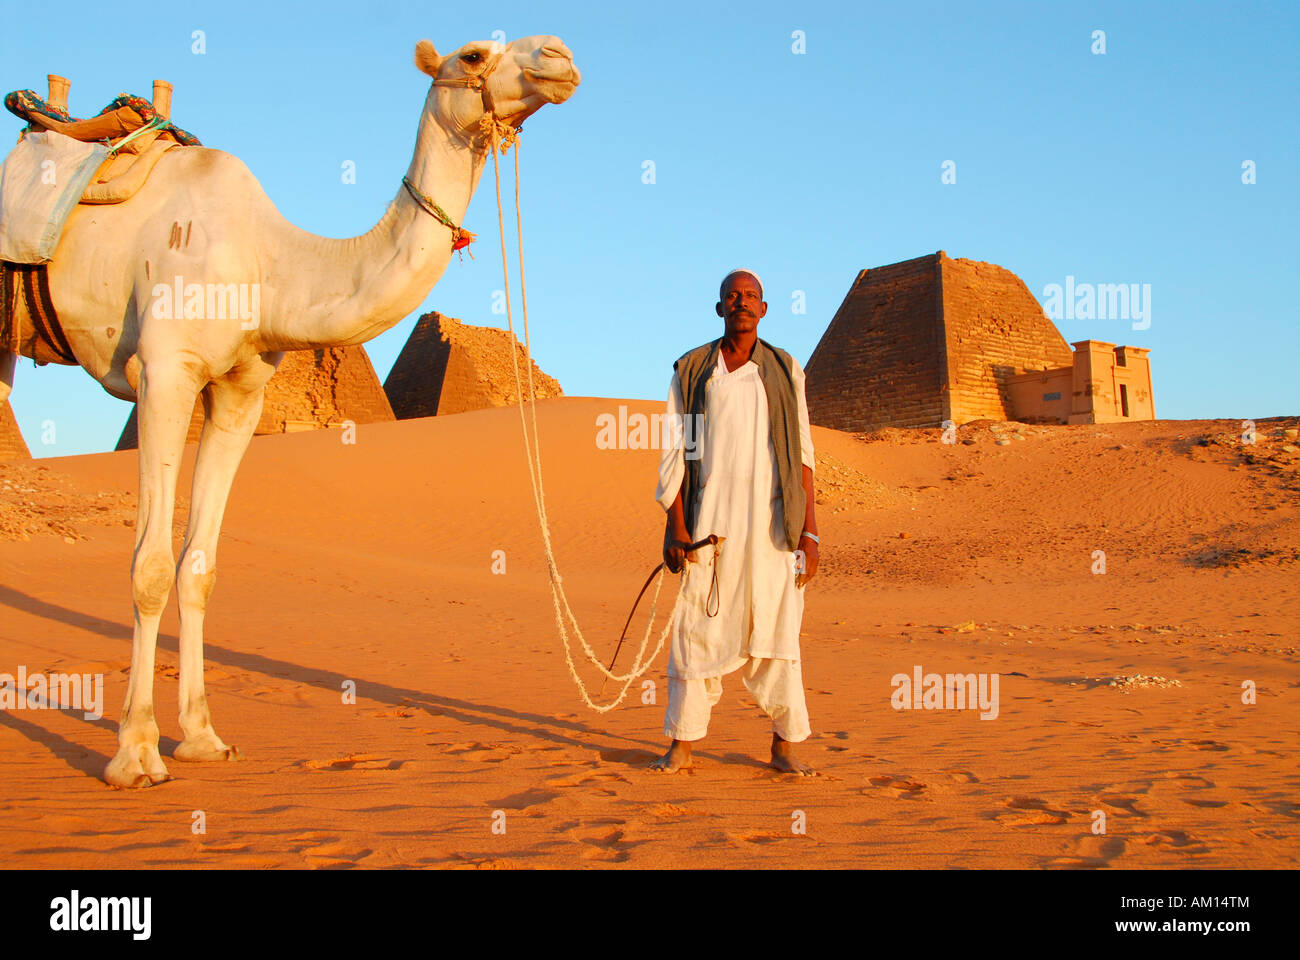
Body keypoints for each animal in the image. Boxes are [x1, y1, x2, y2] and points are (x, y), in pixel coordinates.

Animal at [0, 35, 579, 787]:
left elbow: (199, 569)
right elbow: (150, 566)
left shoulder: (239, 393)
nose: (559, 57)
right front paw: (134, 752)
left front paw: (202, 737)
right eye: (474, 54)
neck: (272, 268)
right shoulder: (164, 374)